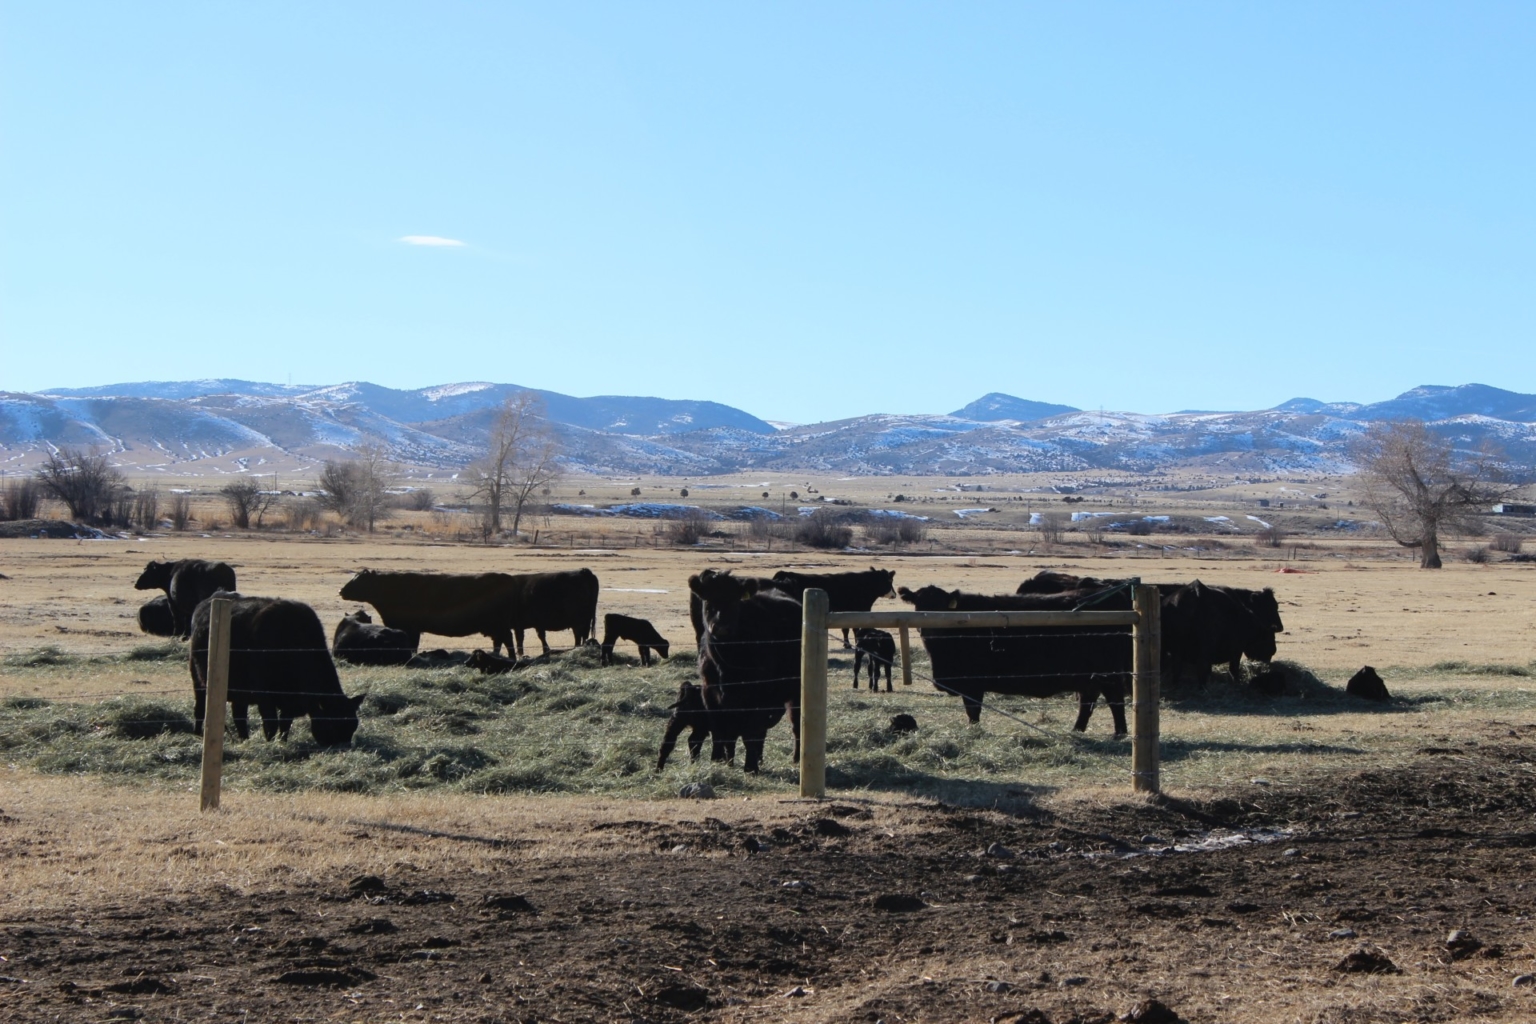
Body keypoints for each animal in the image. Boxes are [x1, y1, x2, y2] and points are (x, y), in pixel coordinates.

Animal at [189, 592, 363, 746]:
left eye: (353, 726)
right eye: (333, 725)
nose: (344, 747)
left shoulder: (288, 703)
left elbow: (285, 724)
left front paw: (282, 742)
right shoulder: (264, 695)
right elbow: (271, 724)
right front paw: (270, 744)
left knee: (239, 714)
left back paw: (244, 739)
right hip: (198, 679)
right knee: (200, 708)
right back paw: (198, 735)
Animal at [689, 569, 802, 773]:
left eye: (735, 601)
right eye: (708, 600)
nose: (721, 627)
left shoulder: (757, 697)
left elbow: (751, 733)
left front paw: (750, 767)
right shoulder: (710, 694)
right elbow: (722, 732)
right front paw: (723, 762)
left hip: (796, 690)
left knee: (796, 725)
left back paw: (796, 758)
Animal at [898, 585, 1131, 735]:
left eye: (941, 606)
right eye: (920, 605)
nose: (931, 628)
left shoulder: (973, 683)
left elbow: (973, 711)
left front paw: (974, 732)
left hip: (1108, 672)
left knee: (1114, 698)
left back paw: (1119, 733)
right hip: (1089, 675)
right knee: (1088, 700)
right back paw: (1077, 730)